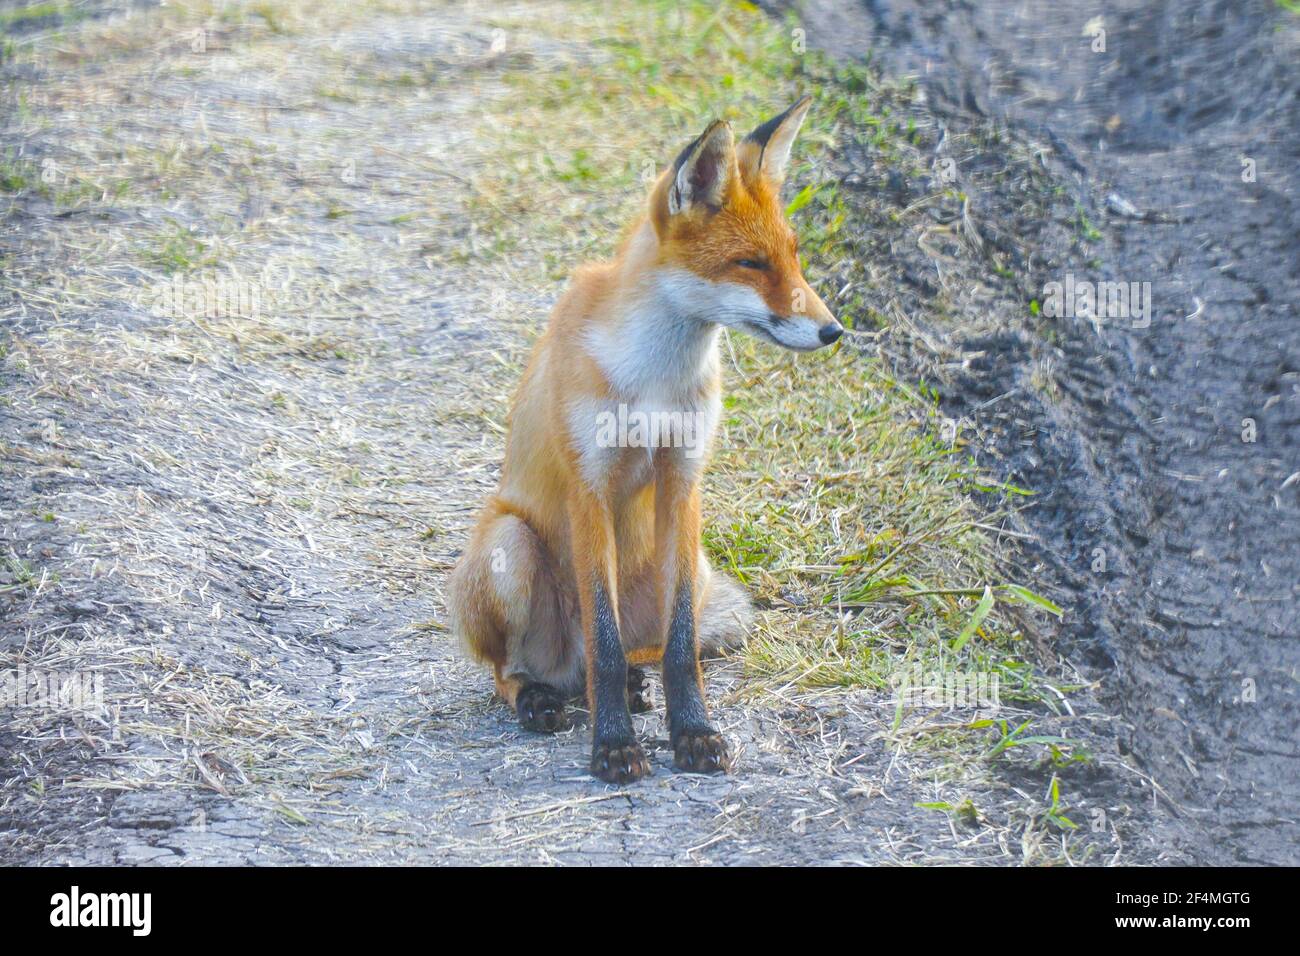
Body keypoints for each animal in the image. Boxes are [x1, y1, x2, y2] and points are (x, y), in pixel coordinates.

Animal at [447, 96, 842, 784]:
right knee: (524, 670)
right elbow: (604, 644)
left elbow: (681, 648)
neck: (656, 382)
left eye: (794, 256)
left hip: (701, 578)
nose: (834, 330)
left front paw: (694, 732)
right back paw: (540, 700)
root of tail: (561, 665)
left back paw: (633, 686)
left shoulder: (683, 480)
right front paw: (613, 746)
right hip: (509, 545)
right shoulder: (590, 484)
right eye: (751, 264)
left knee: (642, 650)